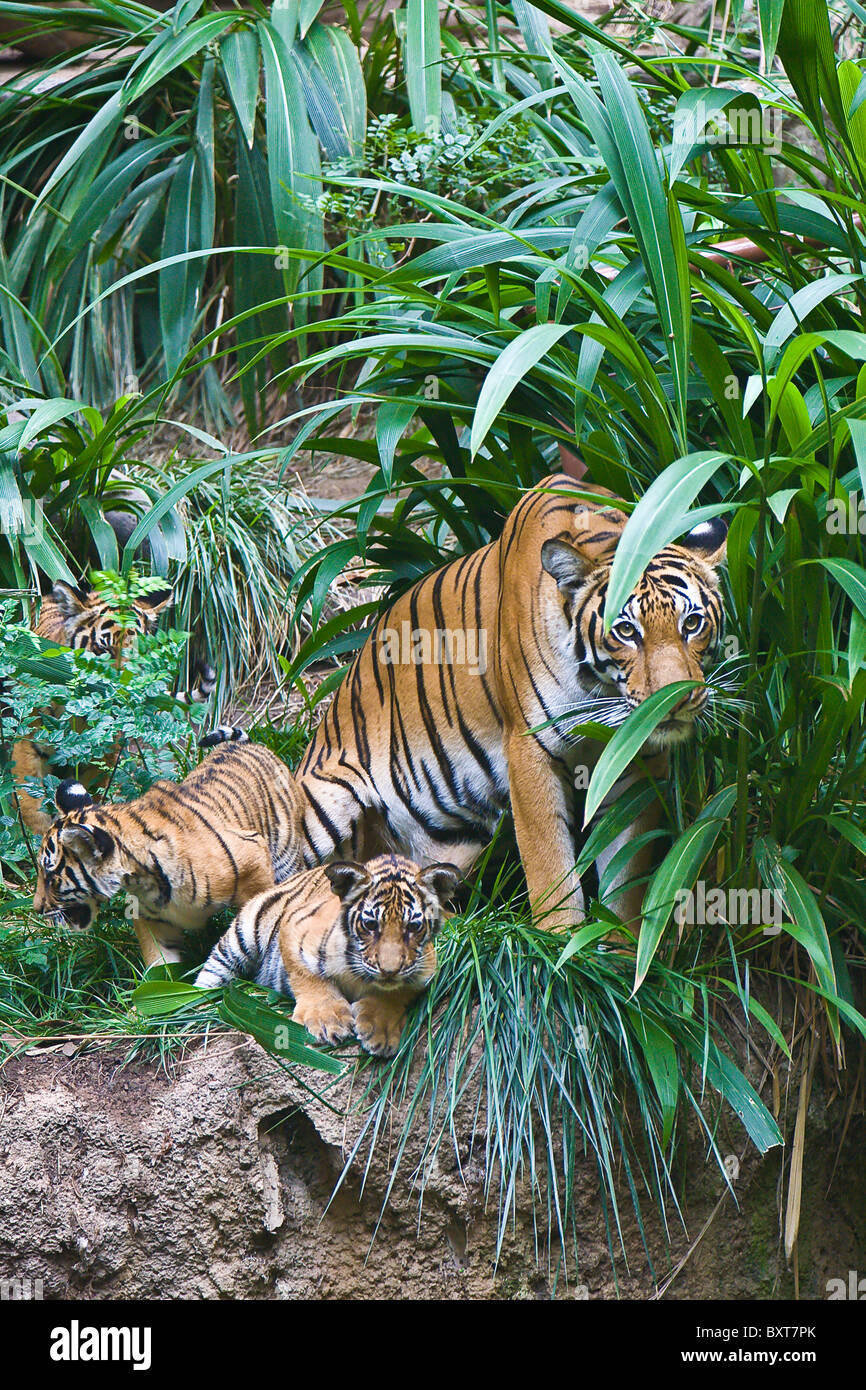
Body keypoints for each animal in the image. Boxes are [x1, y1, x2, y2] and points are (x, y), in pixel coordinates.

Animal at [11, 580, 216, 835]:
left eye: (139, 655)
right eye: (104, 650)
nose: (124, 692)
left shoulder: (105, 756)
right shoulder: (28, 742)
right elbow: (30, 807)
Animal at [32, 738, 304, 969]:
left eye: (51, 877)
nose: (37, 909)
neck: (140, 877)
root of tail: (249, 743)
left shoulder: (253, 858)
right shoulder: (151, 918)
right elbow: (159, 966)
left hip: (287, 859)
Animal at [196, 854, 461, 1055]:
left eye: (413, 927)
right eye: (370, 925)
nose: (389, 970)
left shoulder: (426, 968)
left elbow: (397, 991)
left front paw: (381, 1028)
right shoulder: (294, 926)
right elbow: (307, 976)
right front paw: (326, 1020)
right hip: (243, 933)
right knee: (211, 973)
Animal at [296, 473, 727, 933]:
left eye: (692, 623)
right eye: (626, 631)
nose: (676, 700)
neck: (601, 693)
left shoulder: (635, 760)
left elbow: (627, 874)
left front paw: (619, 943)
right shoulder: (530, 750)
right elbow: (551, 870)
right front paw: (564, 943)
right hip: (324, 805)